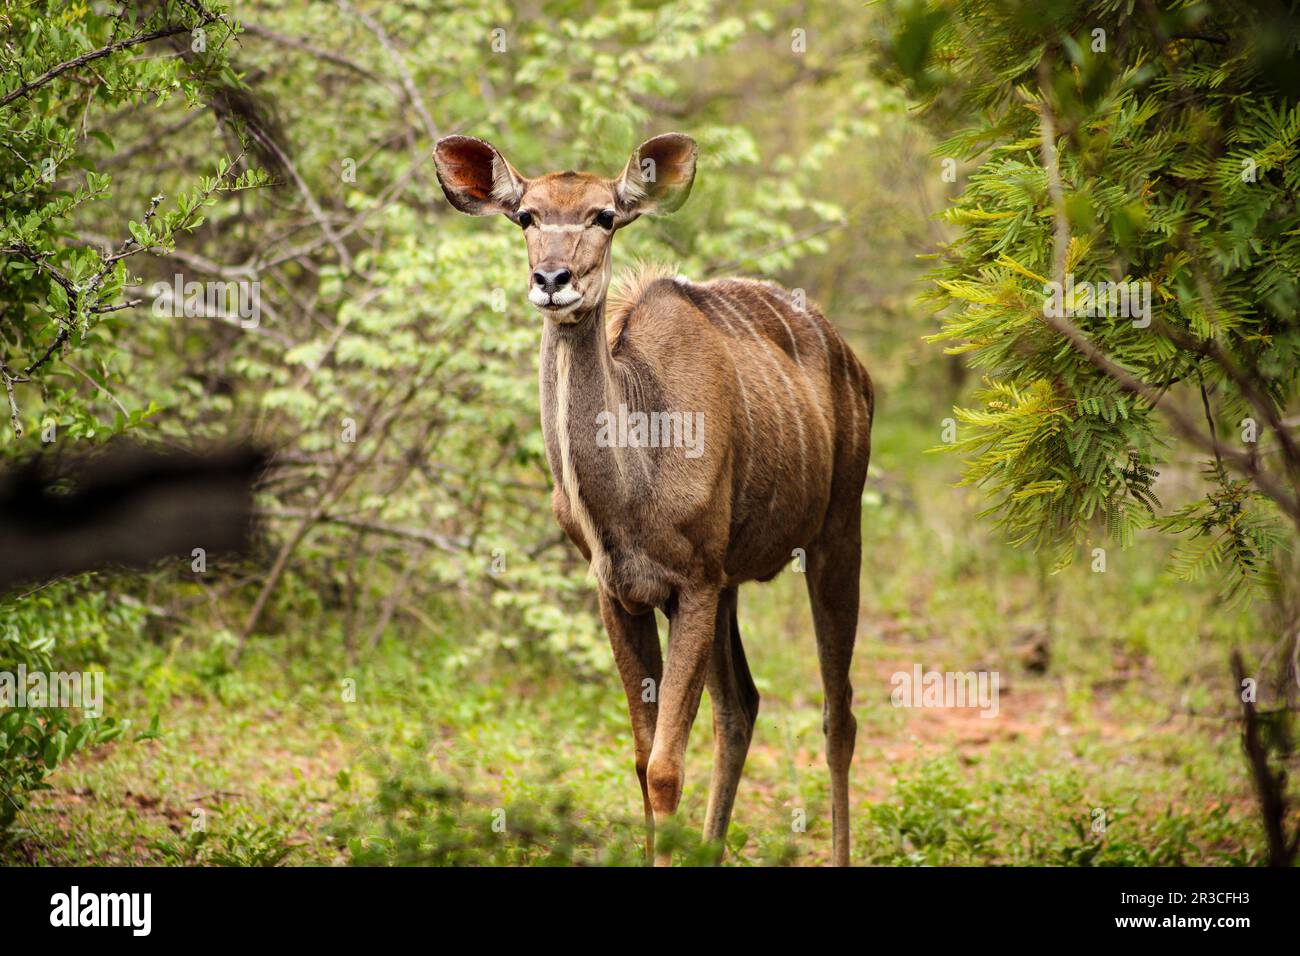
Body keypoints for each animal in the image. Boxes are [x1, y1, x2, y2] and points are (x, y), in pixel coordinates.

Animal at [434, 133, 873, 866]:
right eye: (525, 215)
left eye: (604, 216)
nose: (553, 280)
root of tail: (856, 367)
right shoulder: (623, 592)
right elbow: (644, 760)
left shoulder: (692, 583)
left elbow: (667, 766)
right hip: (733, 584)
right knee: (742, 707)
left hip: (838, 536)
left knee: (837, 713)